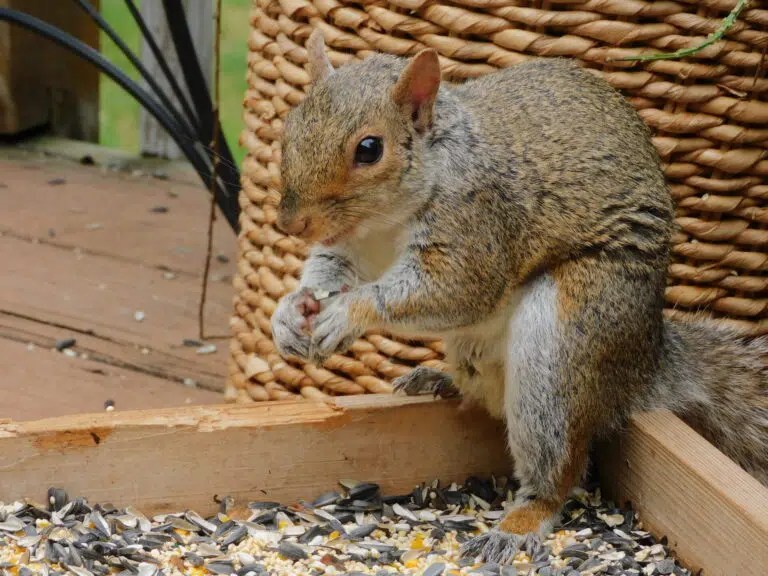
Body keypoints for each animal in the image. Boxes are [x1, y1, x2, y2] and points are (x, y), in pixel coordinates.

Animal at [270, 30, 768, 563]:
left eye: (369, 149)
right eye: (290, 126)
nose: (292, 224)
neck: (386, 219)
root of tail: (643, 365)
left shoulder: (478, 224)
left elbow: (454, 289)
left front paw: (345, 313)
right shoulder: (349, 245)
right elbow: (329, 269)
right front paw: (291, 311)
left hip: (565, 343)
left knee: (558, 466)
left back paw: (518, 522)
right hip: (478, 352)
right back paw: (437, 379)